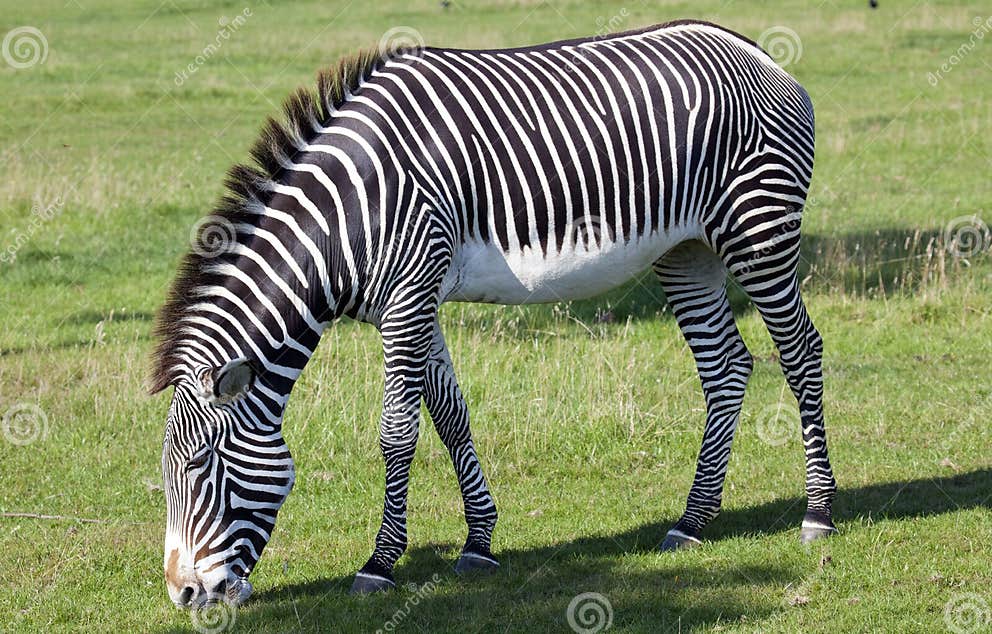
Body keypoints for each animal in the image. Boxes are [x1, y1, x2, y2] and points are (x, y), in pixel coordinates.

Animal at [152, 19, 837, 605]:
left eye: (202, 468)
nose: (182, 594)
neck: (346, 215)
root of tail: (752, 49)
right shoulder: (414, 299)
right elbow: (452, 417)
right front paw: (479, 544)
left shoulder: (409, 292)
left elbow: (398, 434)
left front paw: (380, 564)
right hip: (686, 250)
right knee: (726, 368)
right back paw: (692, 521)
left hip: (758, 231)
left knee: (801, 351)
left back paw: (818, 513)